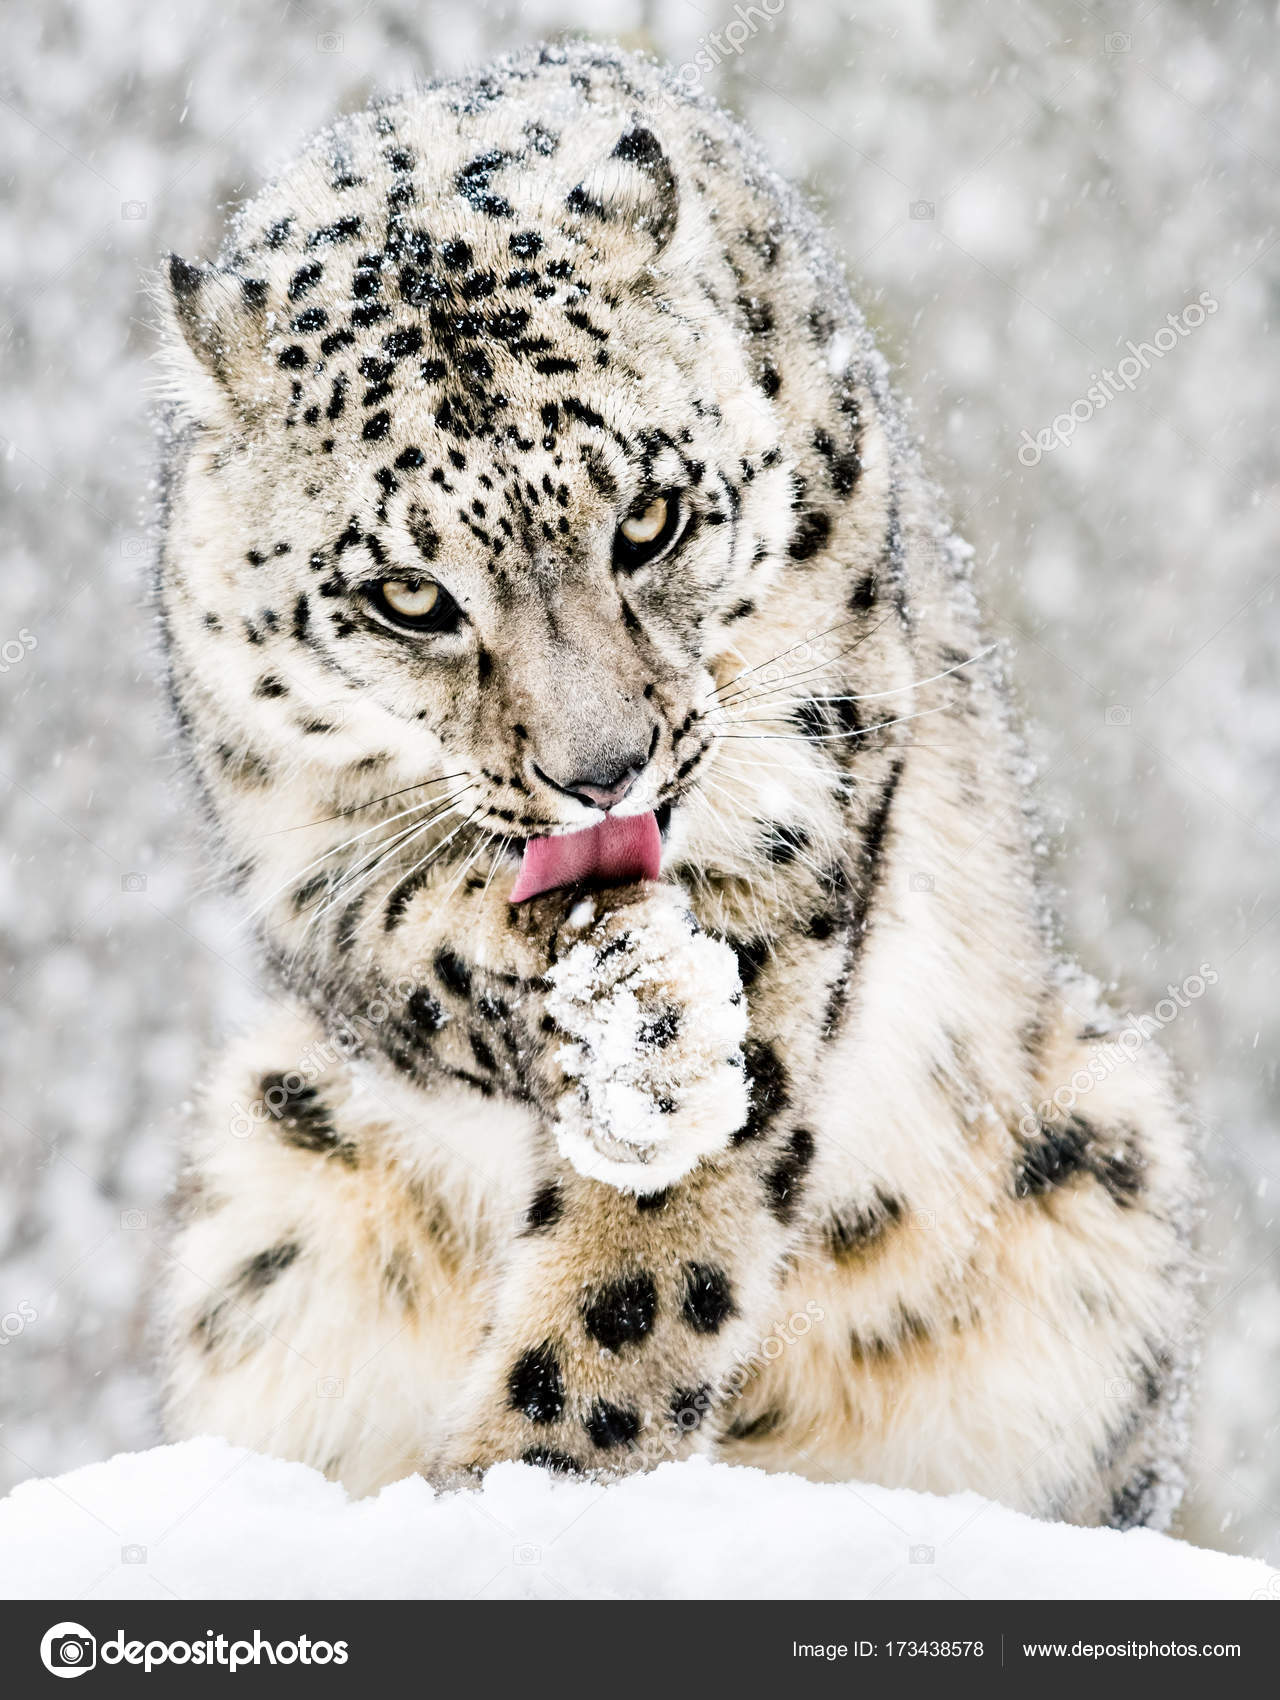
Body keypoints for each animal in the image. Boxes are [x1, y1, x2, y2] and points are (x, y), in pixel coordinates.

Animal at [155, 39, 1197, 1528]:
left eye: (649, 517)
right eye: (407, 593)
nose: (602, 772)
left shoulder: (805, 765)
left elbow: (655, 1244)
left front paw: (542, 1469)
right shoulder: (297, 843)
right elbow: (418, 945)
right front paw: (627, 1016)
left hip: (1102, 1152)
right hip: (271, 1172)